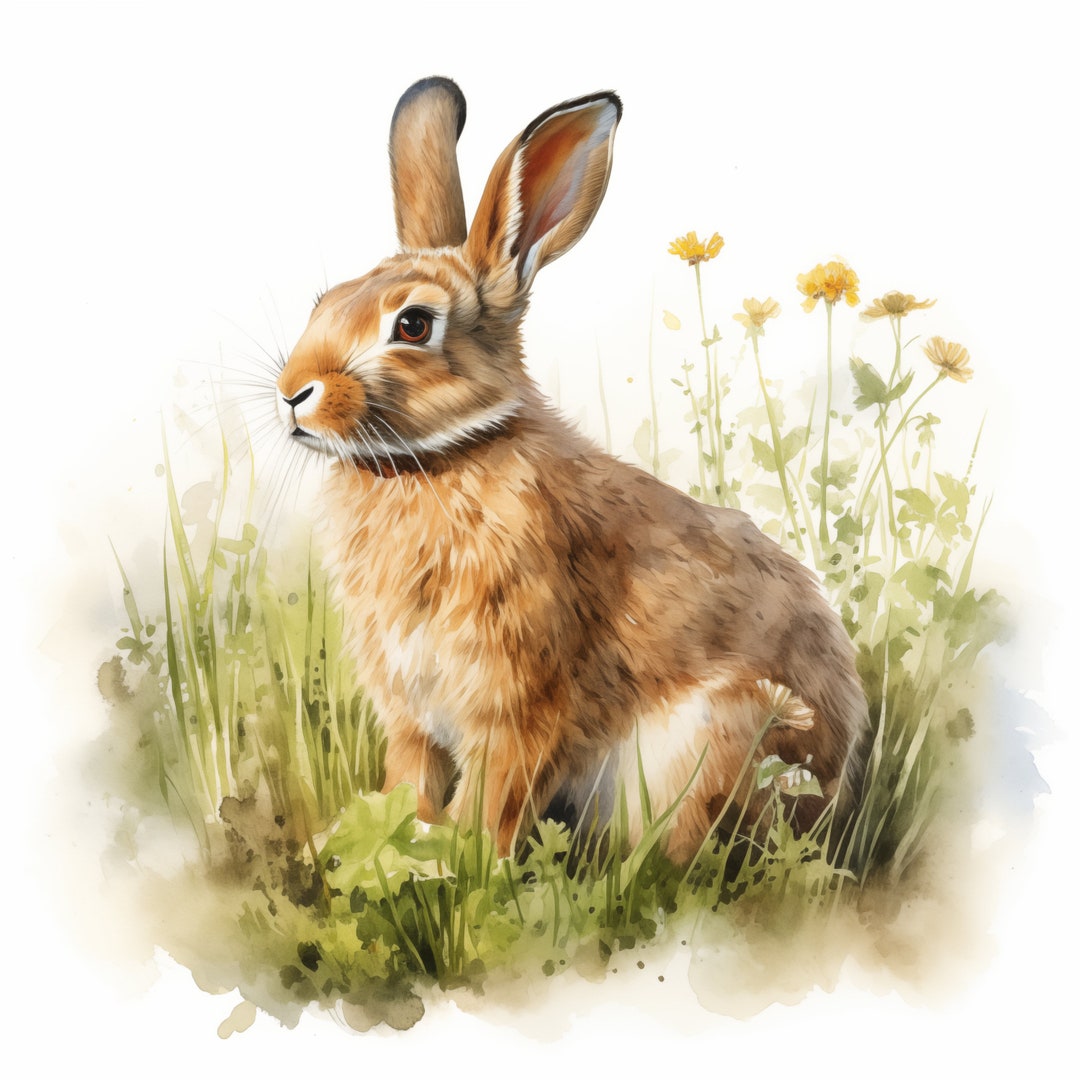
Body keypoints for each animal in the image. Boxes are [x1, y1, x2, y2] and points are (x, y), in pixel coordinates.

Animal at [274, 76, 869, 864]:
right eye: (324, 303)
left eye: (412, 325)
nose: (292, 395)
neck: (436, 461)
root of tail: (837, 798)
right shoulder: (411, 711)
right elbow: (408, 785)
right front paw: (372, 846)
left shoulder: (523, 699)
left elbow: (491, 803)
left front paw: (452, 866)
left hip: (717, 740)